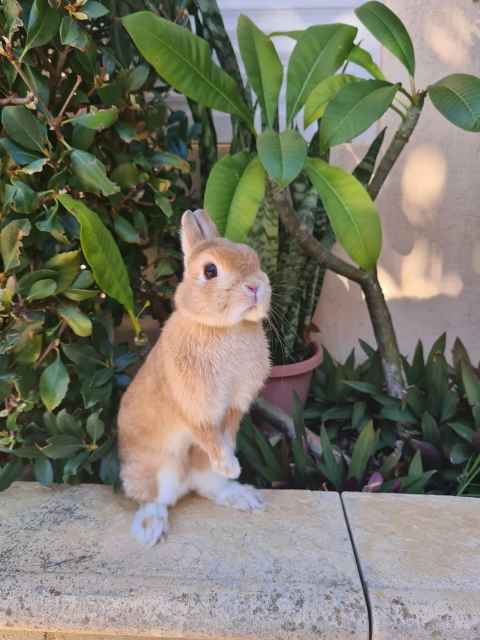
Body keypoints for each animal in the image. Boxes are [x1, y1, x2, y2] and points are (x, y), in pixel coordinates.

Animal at [117, 209, 271, 546]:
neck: (223, 327)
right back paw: (150, 528)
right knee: (154, 499)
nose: (255, 287)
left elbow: (226, 432)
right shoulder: (196, 406)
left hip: (197, 470)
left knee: (207, 486)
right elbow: (207, 434)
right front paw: (230, 464)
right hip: (157, 469)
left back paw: (240, 493)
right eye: (210, 270)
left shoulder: (234, 404)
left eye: (254, 258)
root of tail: (185, 481)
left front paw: (230, 465)